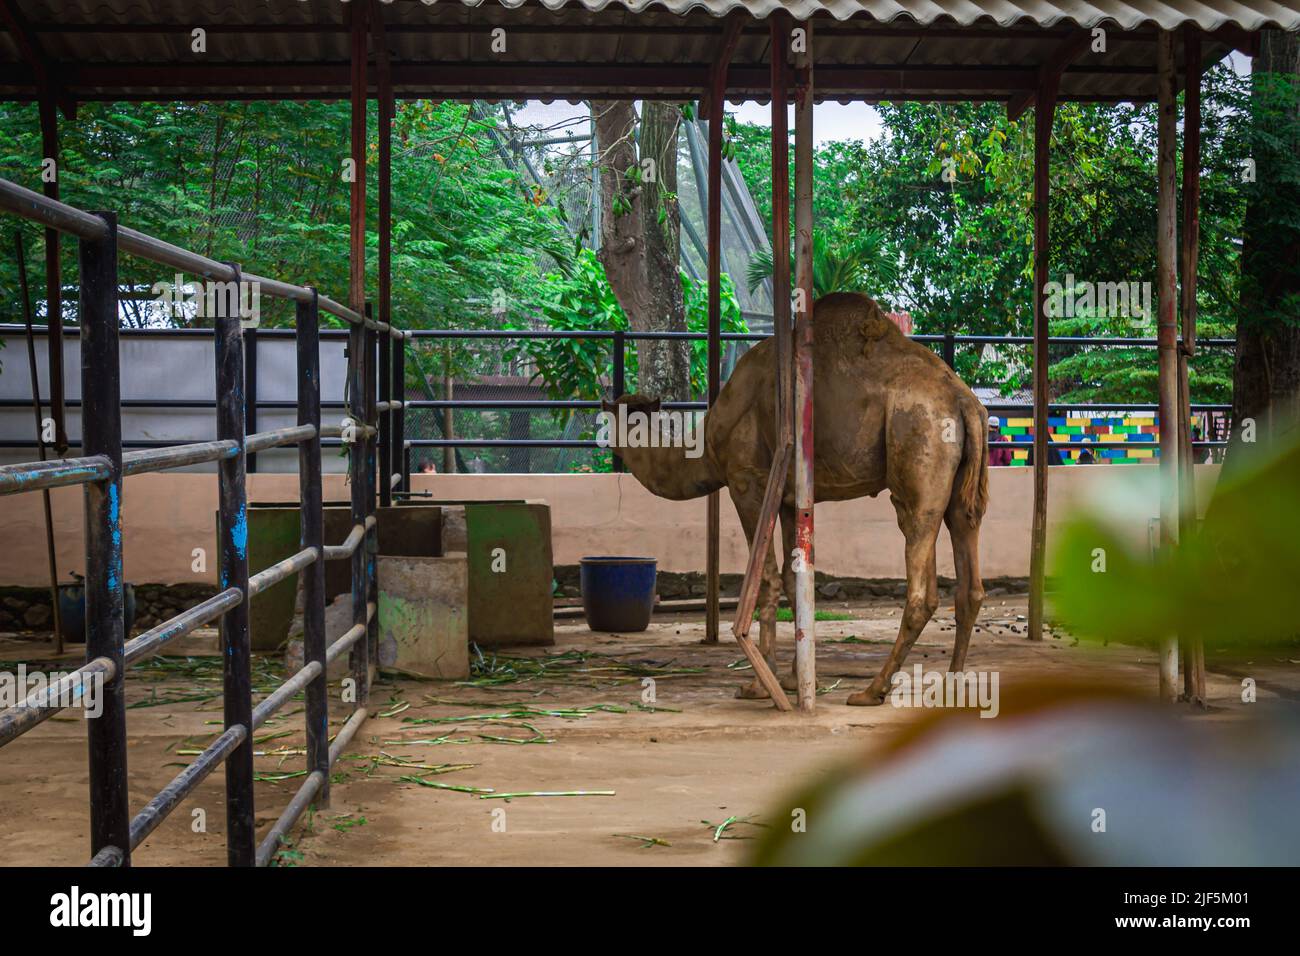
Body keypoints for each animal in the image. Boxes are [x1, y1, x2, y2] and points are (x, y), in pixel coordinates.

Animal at [602, 292, 989, 705]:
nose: (606, 442)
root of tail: (964, 401)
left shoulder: (746, 483)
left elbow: (767, 579)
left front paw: (760, 684)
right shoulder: (789, 498)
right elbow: (794, 579)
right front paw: (793, 678)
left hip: (919, 445)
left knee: (921, 579)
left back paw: (872, 690)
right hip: (957, 489)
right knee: (968, 575)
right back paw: (952, 684)